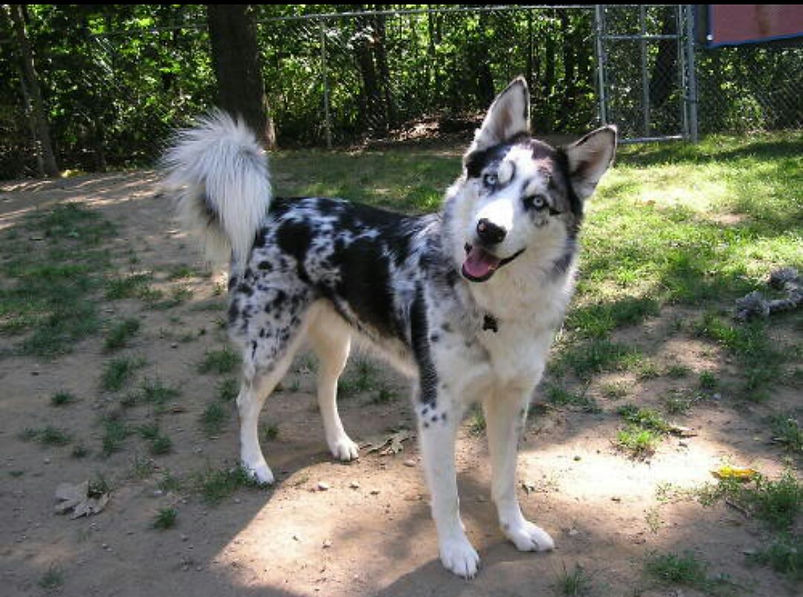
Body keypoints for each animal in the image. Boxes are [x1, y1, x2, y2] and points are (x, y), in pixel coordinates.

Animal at [162, 77, 616, 578]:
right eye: (491, 181)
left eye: (537, 202)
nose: (487, 230)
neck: (493, 306)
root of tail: (274, 207)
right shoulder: (436, 408)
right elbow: (449, 493)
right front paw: (455, 550)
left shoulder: (512, 401)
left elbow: (505, 479)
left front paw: (517, 531)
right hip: (271, 346)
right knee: (245, 402)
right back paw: (254, 464)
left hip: (336, 342)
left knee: (323, 387)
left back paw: (338, 443)